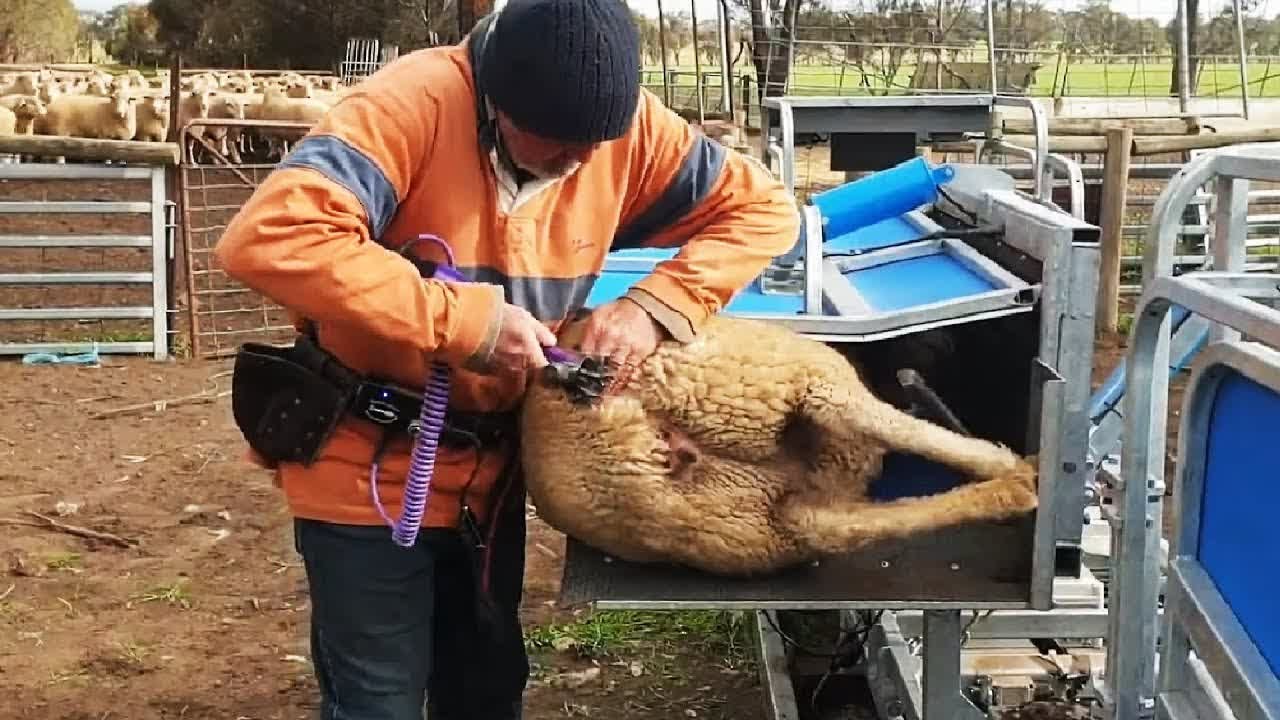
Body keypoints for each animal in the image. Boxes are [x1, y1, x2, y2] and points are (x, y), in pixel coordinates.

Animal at [519, 315, 1039, 576]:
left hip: (750, 527)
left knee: (851, 526)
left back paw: (1010, 491)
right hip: (783, 380)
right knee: (886, 427)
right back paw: (1019, 476)